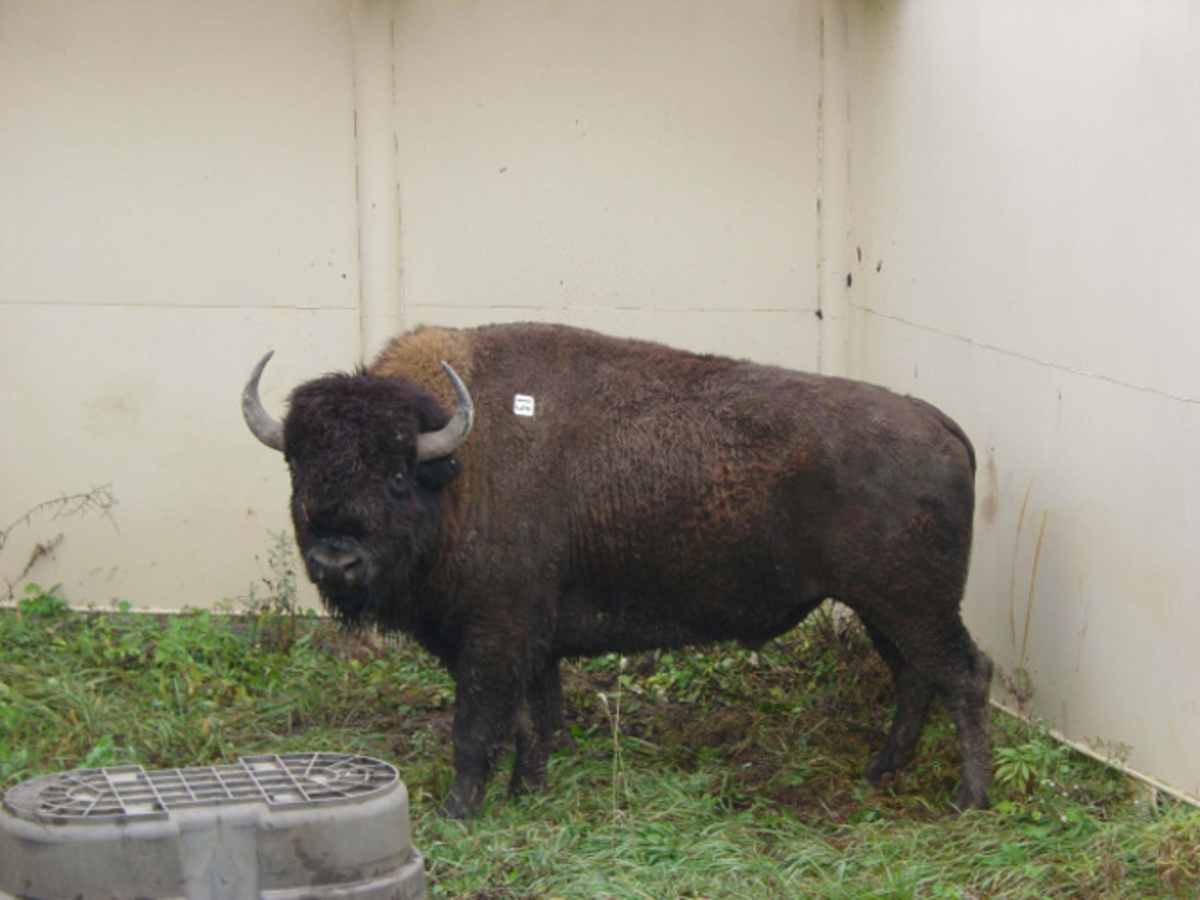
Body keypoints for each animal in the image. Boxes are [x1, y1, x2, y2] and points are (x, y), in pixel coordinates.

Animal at [243, 323, 992, 817]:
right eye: (300, 468)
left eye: (397, 475)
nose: (336, 560)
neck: (457, 469)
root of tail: (939, 424)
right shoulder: (530, 644)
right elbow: (533, 721)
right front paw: (527, 792)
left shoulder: (491, 638)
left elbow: (475, 727)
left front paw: (460, 809)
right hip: (883, 607)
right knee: (915, 678)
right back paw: (880, 771)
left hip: (912, 605)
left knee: (963, 674)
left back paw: (969, 798)